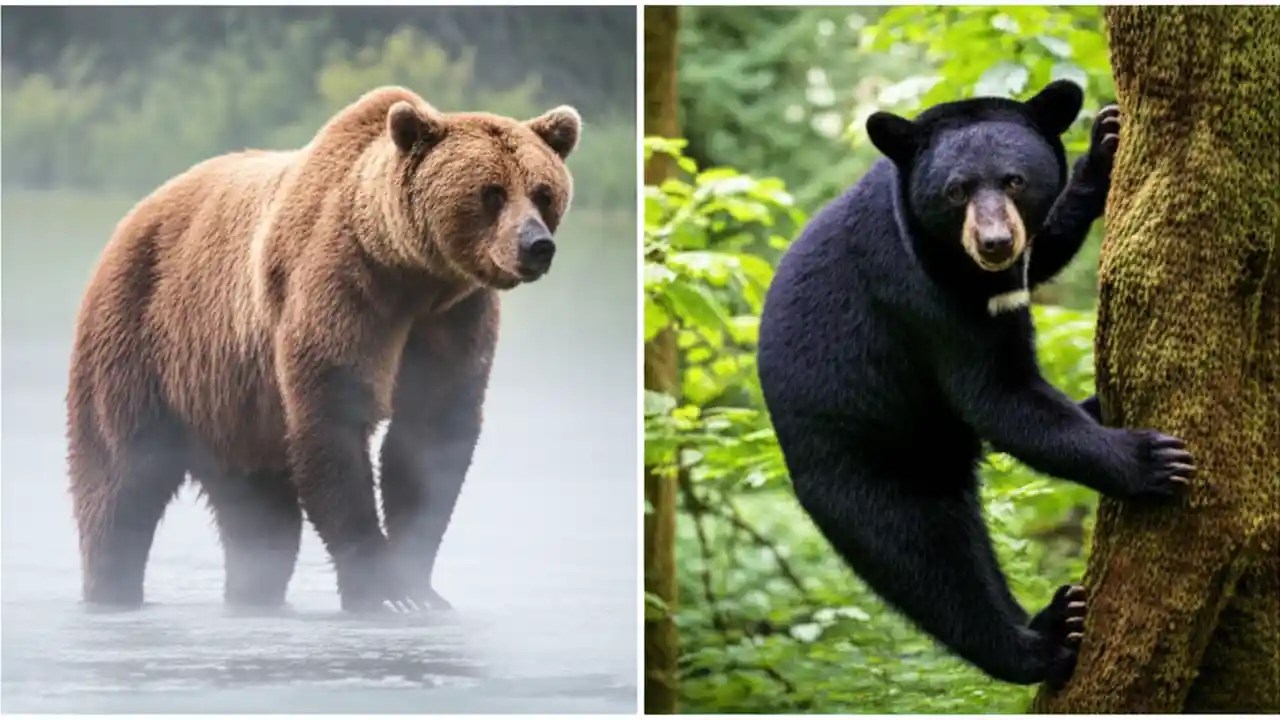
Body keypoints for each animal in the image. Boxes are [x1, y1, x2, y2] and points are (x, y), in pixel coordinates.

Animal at [66, 86, 581, 613]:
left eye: (543, 192)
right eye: (491, 192)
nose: (536, 245)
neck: (409, 275)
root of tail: (136, 213)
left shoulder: (452, 318)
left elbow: (431, 433)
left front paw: (418, 587)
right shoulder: (340, 290)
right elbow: (333, 418)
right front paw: (380, 588)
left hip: (234, 412)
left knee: (259, 518)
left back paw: (253, 594)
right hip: (140, 339)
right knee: (118, 482)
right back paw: (111, 587)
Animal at [756, 80, 1195, 687]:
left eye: (1014, 180)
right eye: (956, 191)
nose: (994, 242)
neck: (973, 275)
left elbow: (1046, 248)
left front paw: (1105, 142)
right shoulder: (925, 296)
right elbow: (1000, 398)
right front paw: (1155, 460)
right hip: (871, 461)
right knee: (932, 564)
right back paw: (1046, 637)